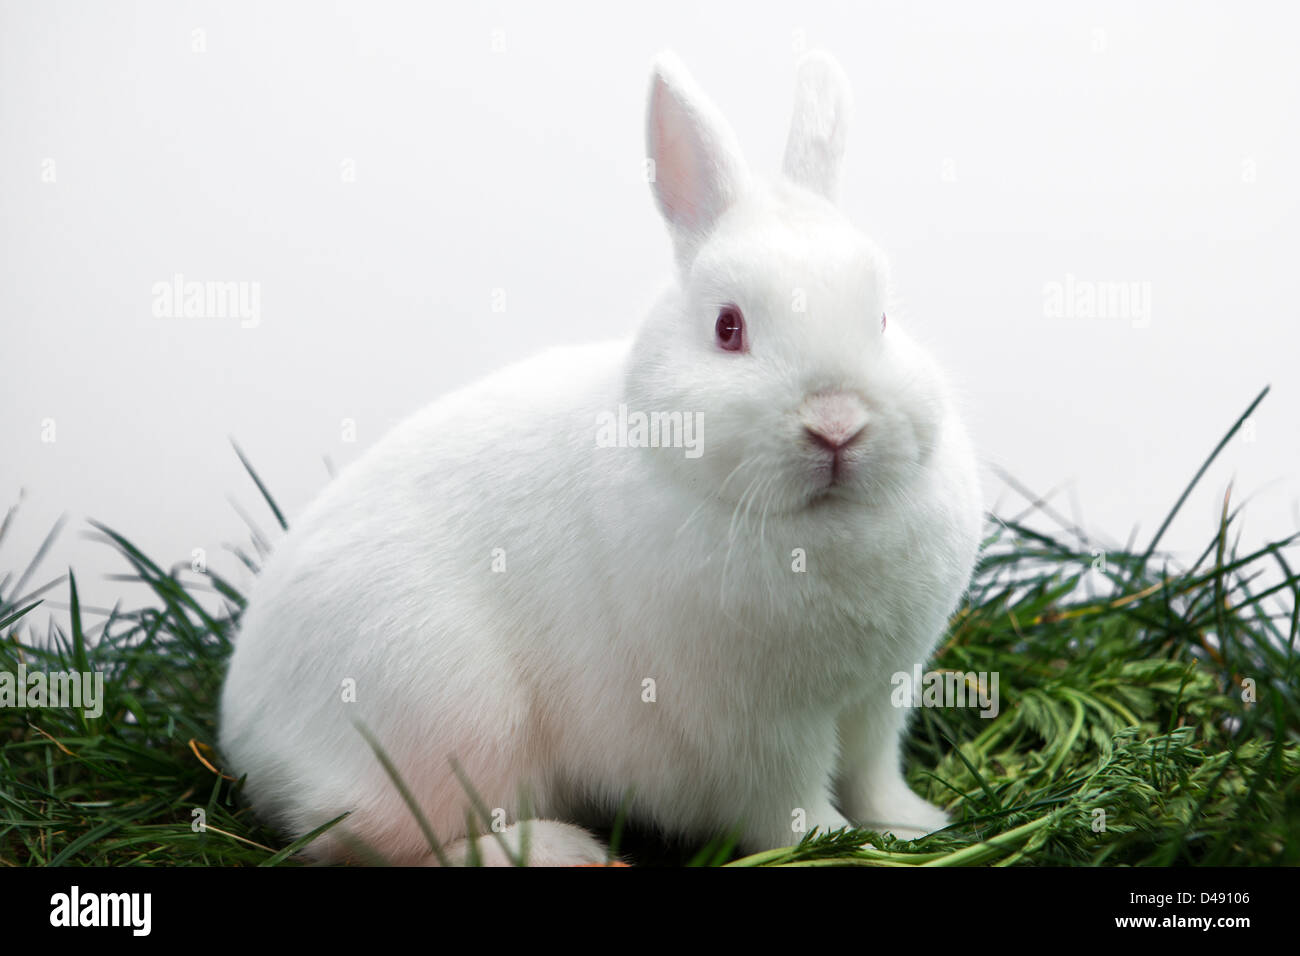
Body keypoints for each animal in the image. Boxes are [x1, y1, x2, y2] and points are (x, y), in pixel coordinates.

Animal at [218, 49, 984, 866]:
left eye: (882, 317)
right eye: (728, 327)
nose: (838, 425)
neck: (819, 522)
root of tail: (246, 732)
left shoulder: (876, 700)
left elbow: (874, 773)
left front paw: (913, 825)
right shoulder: (755, 735)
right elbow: (788, 805)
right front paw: (834, 843)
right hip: (444, 716)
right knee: (380, 841)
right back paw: (561, 848)